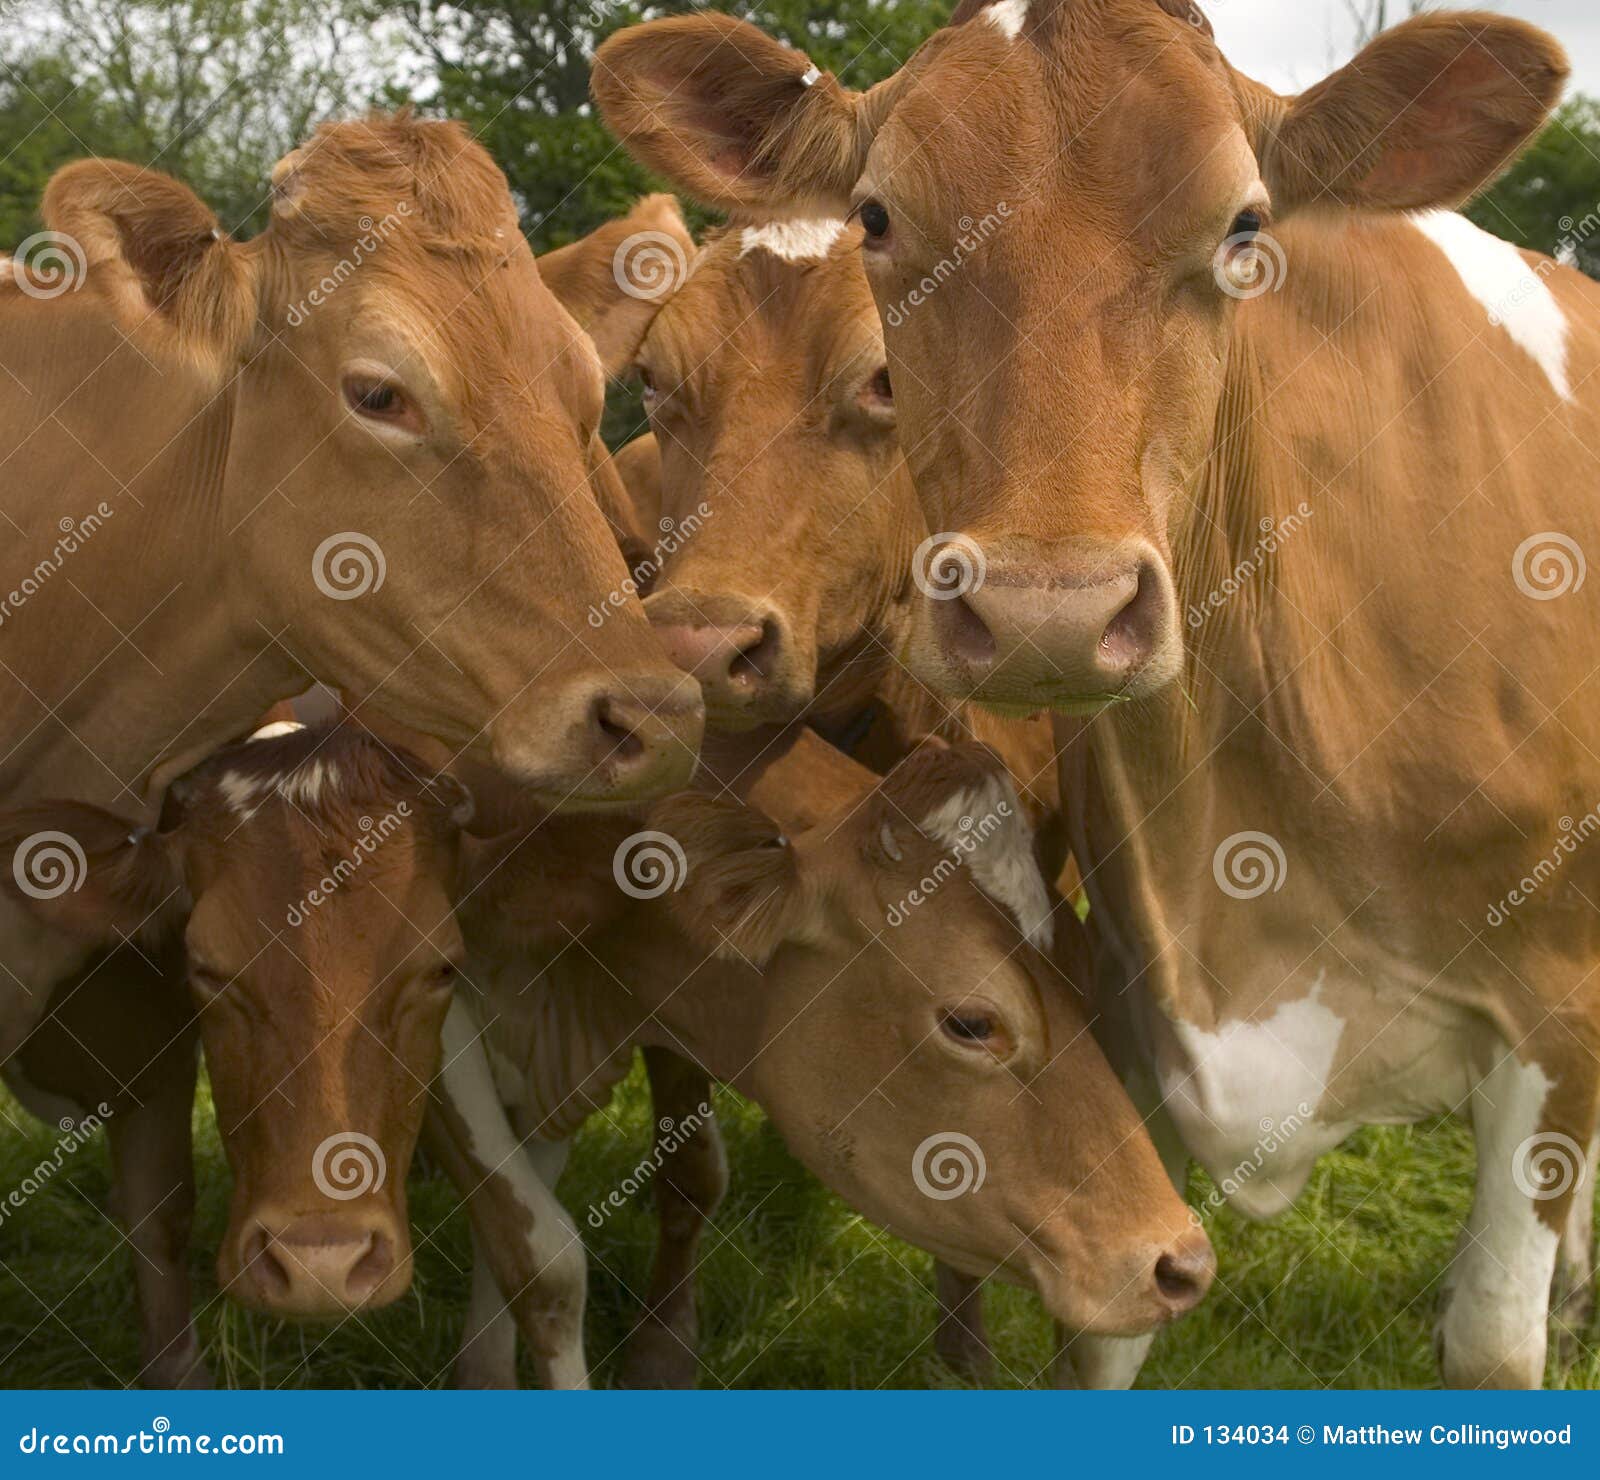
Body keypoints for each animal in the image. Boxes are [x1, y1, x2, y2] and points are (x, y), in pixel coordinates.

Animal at [594, 3, 1600, 1386]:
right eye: (878, 216)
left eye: (1245, 226)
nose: (1045, 607)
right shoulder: (1128, 1004)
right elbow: (1104, 1324)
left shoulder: (1554, 1015)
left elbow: (1493, 1347)